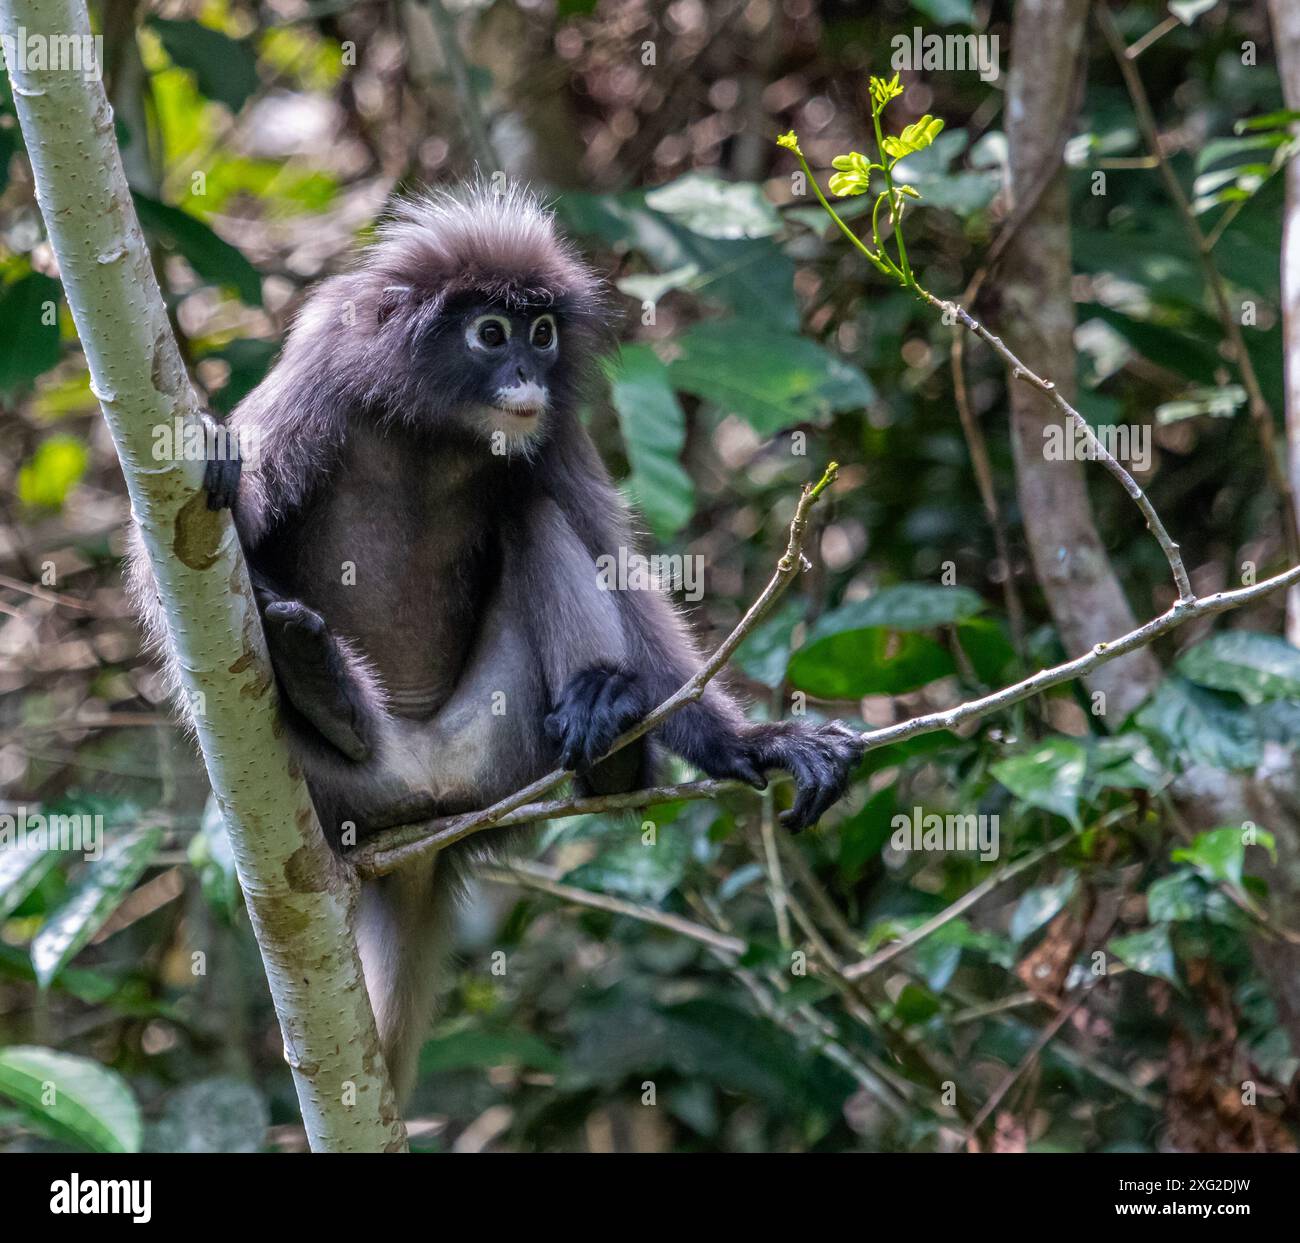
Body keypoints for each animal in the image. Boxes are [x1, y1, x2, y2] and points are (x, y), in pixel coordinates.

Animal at [127, 183, 864, 1104]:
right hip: (333, 792)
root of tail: (421, 811)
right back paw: (326, 693)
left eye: (541, 333)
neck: (434, 431)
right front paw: (222, 457)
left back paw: (609, 739)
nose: (526, 375)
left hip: (505, 748)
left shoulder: (552, 427)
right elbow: (175, 567)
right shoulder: (320, 374)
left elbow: (613, 561)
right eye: (490, 333)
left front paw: (752, 740)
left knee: (533, 511)